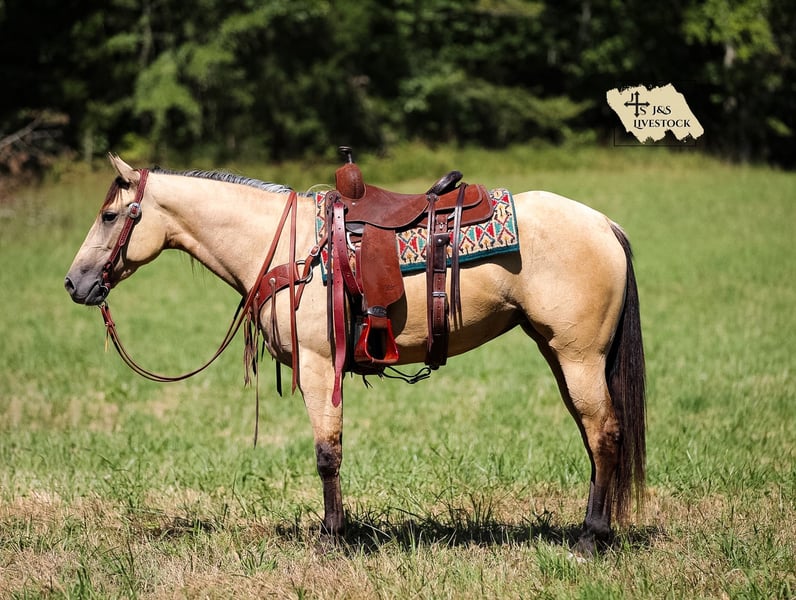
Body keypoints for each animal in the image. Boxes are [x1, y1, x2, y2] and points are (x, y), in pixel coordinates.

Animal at [64, 154, 646, 555]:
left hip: (578, 356)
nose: (74, 283)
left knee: (604, 434)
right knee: (594, 437)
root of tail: (605, 224)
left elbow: (328, 454)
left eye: (111, 215)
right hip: (560, 354)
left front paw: (331, 538)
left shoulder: (321, 366)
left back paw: (590, 538)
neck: (291, 249)